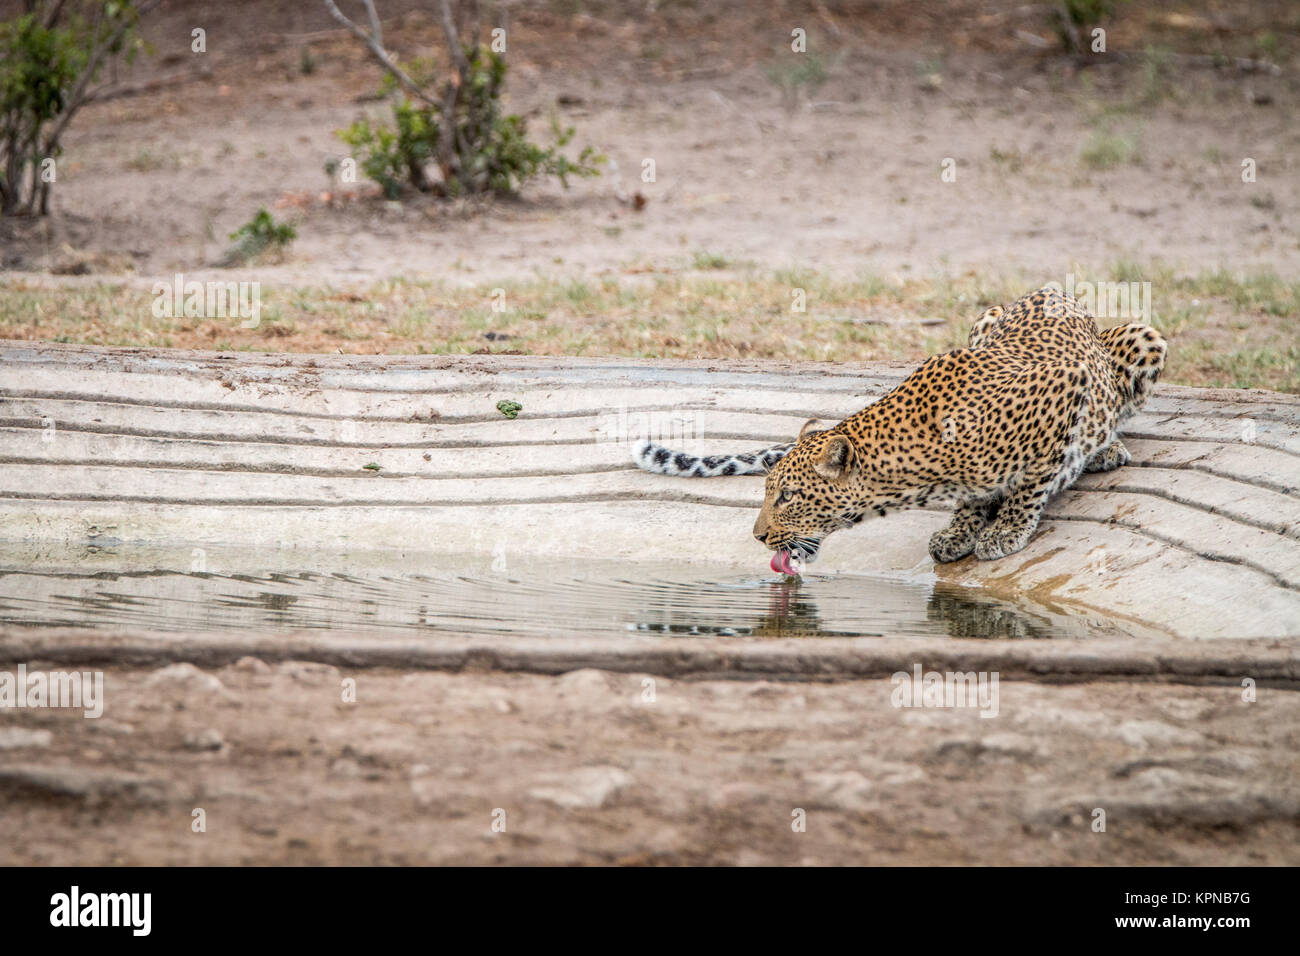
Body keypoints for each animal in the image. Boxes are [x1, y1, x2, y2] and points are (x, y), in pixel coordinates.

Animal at [633, 286, 1167, 571]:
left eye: (787, 497)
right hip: (985, 319)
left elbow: (1030, 484)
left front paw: (1005, 530)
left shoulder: (1067, 386)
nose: (759, 537)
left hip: (1145, 337)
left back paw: (1107, 450)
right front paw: (959, 531)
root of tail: (1057, 290)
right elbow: (977, 497)